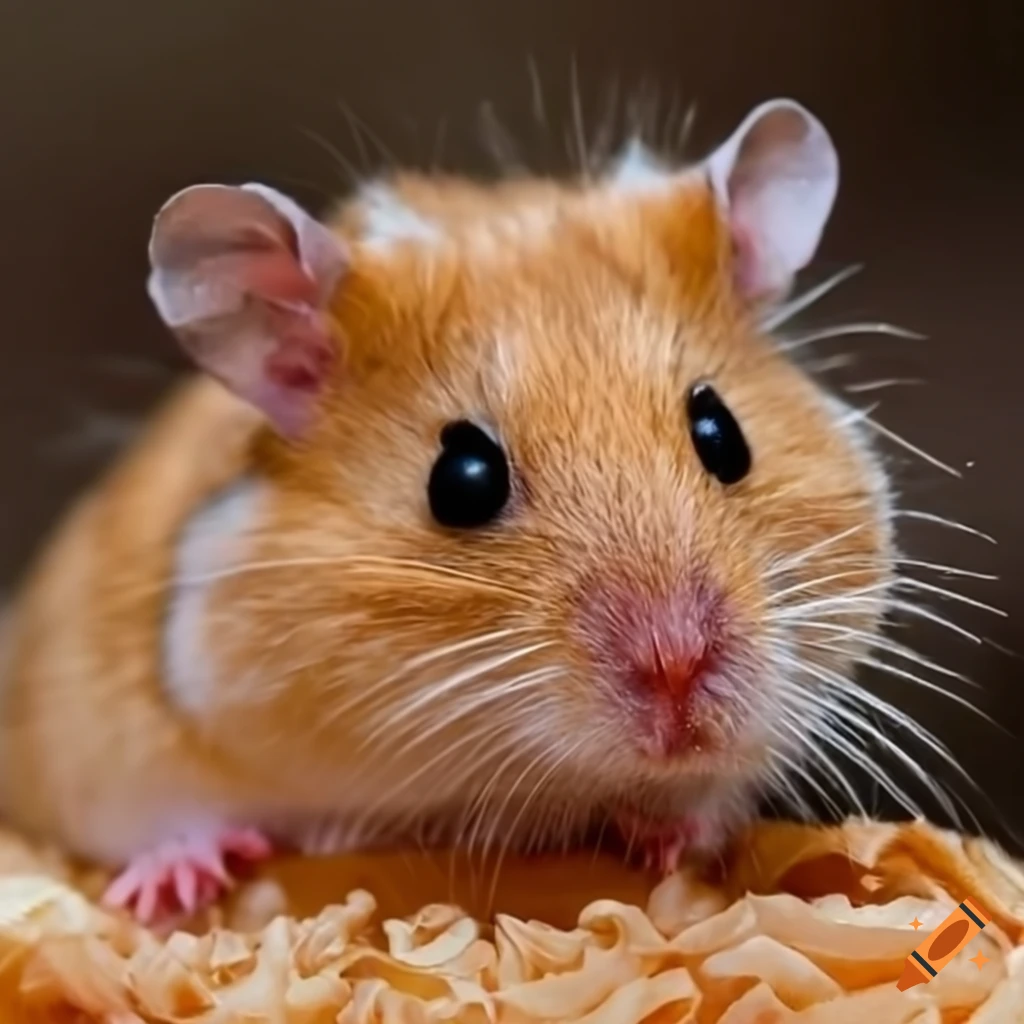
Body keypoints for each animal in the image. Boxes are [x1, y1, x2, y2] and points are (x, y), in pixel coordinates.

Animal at [0, 98, 895, 924]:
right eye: (462, 479)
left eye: (723, 435)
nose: (678, 668)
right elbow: (166, 818)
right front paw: (179, 883)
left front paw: (666, 838)